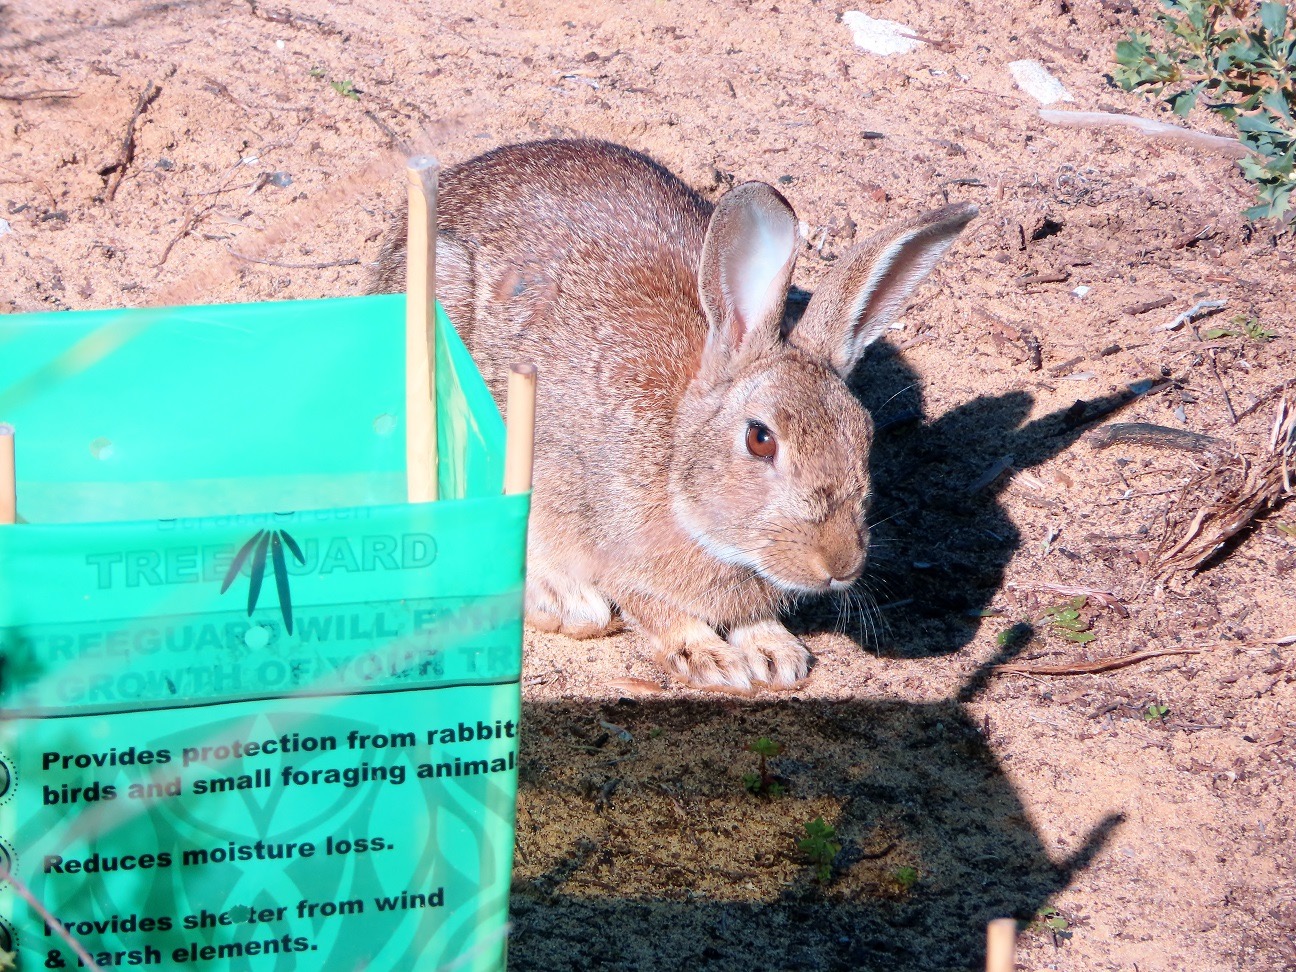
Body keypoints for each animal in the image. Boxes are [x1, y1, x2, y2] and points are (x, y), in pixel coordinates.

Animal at [369, 138, 975, 693]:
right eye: (760, 439)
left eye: (864, 435)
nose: (839, 564)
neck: (676, 461)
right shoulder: (604, 535)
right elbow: (651, 606)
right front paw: (712, 660)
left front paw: (775, 654)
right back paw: (564, 604)